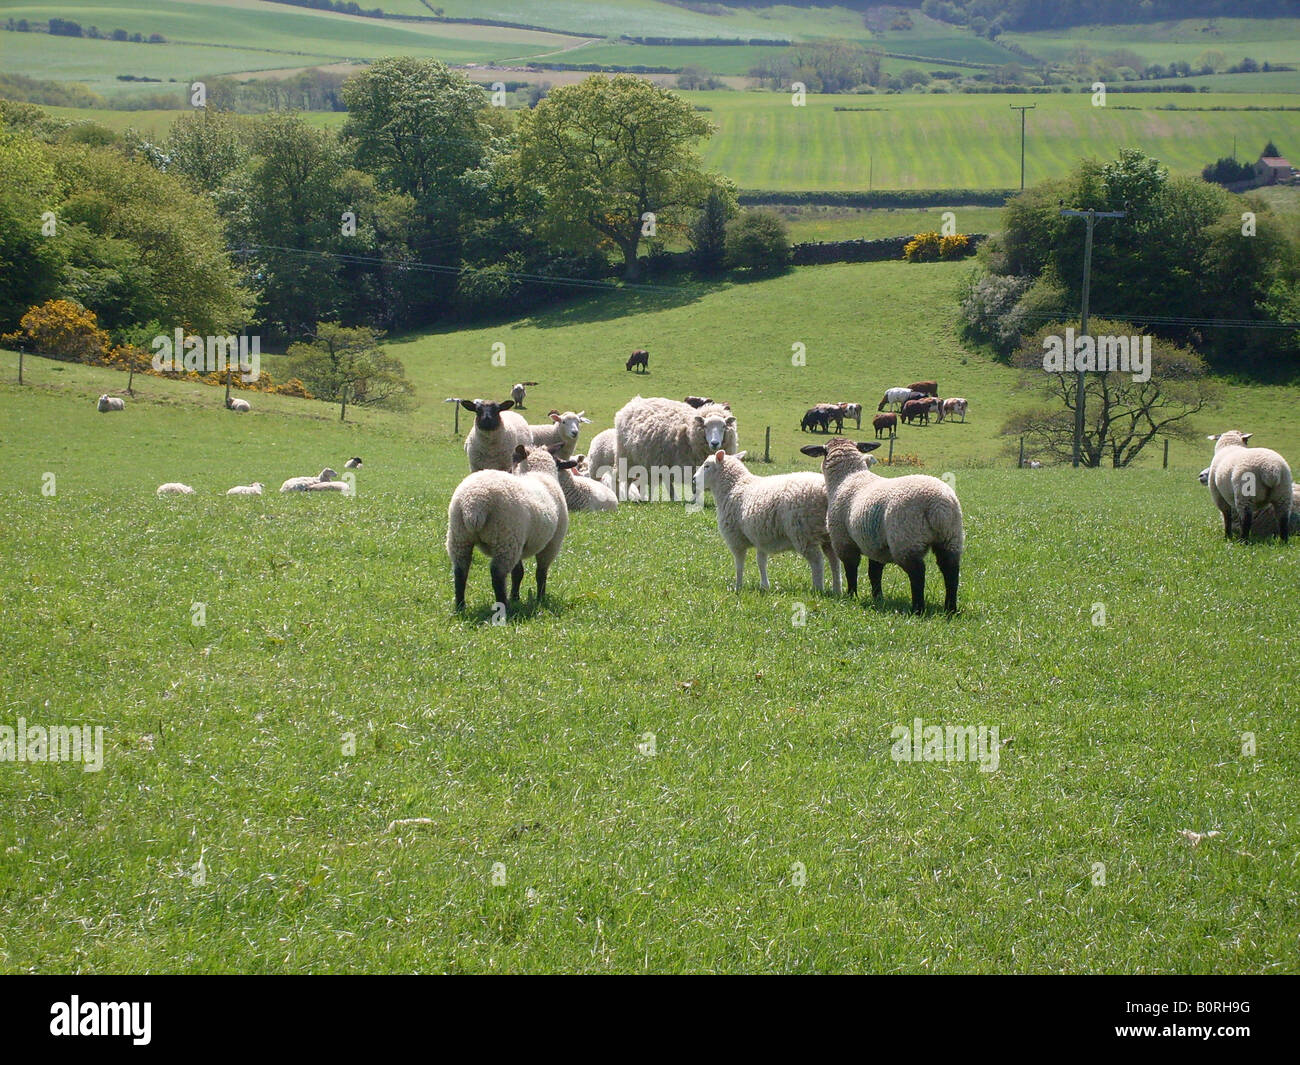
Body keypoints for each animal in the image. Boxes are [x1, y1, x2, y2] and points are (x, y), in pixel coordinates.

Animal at [445, 442, 574, 613]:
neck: (540, 473)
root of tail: (473, 503)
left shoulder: (521, 543)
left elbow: (518, 572)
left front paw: (516, 597)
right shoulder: (552, 543)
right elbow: (541, 573)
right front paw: (540, 598)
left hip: (459, 536)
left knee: (460, 571)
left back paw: (460, 606)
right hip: (506, 539)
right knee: (497, 574)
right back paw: (504, 607)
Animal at [693, 450, 840, 594]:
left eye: (707, 466)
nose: (694, 478)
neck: (734, 486)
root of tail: (824, 490)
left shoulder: (735, 538)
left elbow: (739, 564)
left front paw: (738, 587)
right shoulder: (760, 537)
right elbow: (761, 561)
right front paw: (764, 586)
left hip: (803, 532)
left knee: (817, 562)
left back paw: (818, 589)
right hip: (828, 534)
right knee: (834, 560)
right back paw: (836, 589)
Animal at [801, 438, 964, 615]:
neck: (847, 477)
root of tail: (938, 505)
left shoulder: (844, 541)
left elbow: (851, 569)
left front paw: (851, 595)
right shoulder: (875, 544)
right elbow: (874, 573)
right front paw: (878, 598)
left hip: (905, 539)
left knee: (918, 573)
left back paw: (918, 609)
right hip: (951, 538)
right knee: (951, 571)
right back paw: (950, 609)